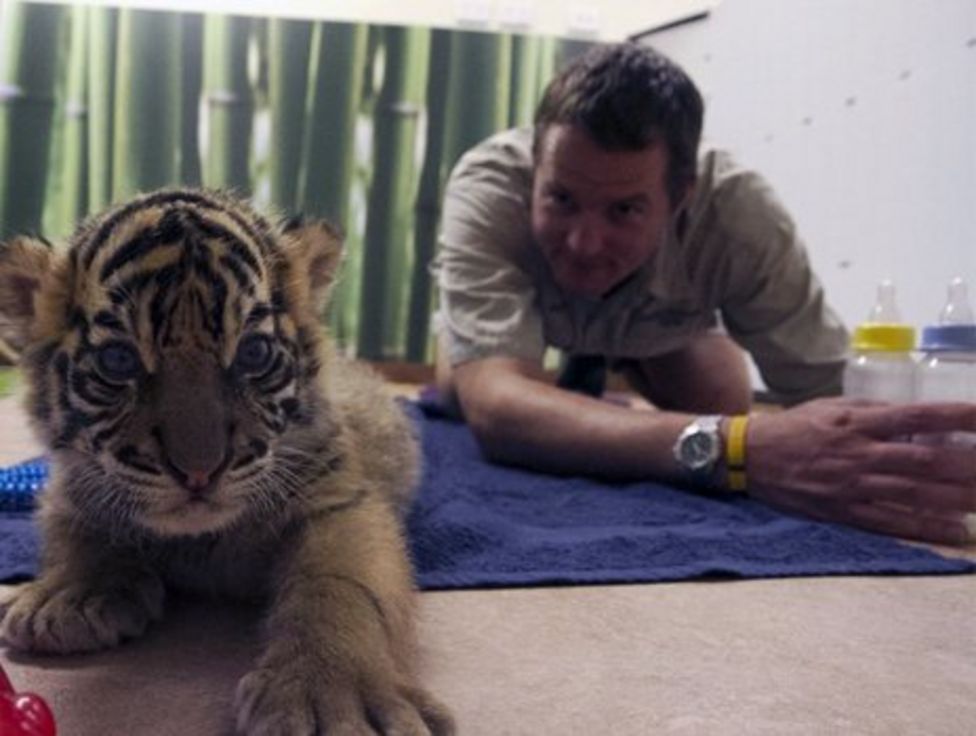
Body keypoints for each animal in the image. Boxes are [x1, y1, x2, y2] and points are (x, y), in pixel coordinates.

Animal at [0, 189, 454, 735]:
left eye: (253, 353)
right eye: (118, 361)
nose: (199, 471)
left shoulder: (338, 498)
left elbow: (343, 585)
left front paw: (334, 698)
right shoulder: (71, 487)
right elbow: (78, 529)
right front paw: (69, 596)